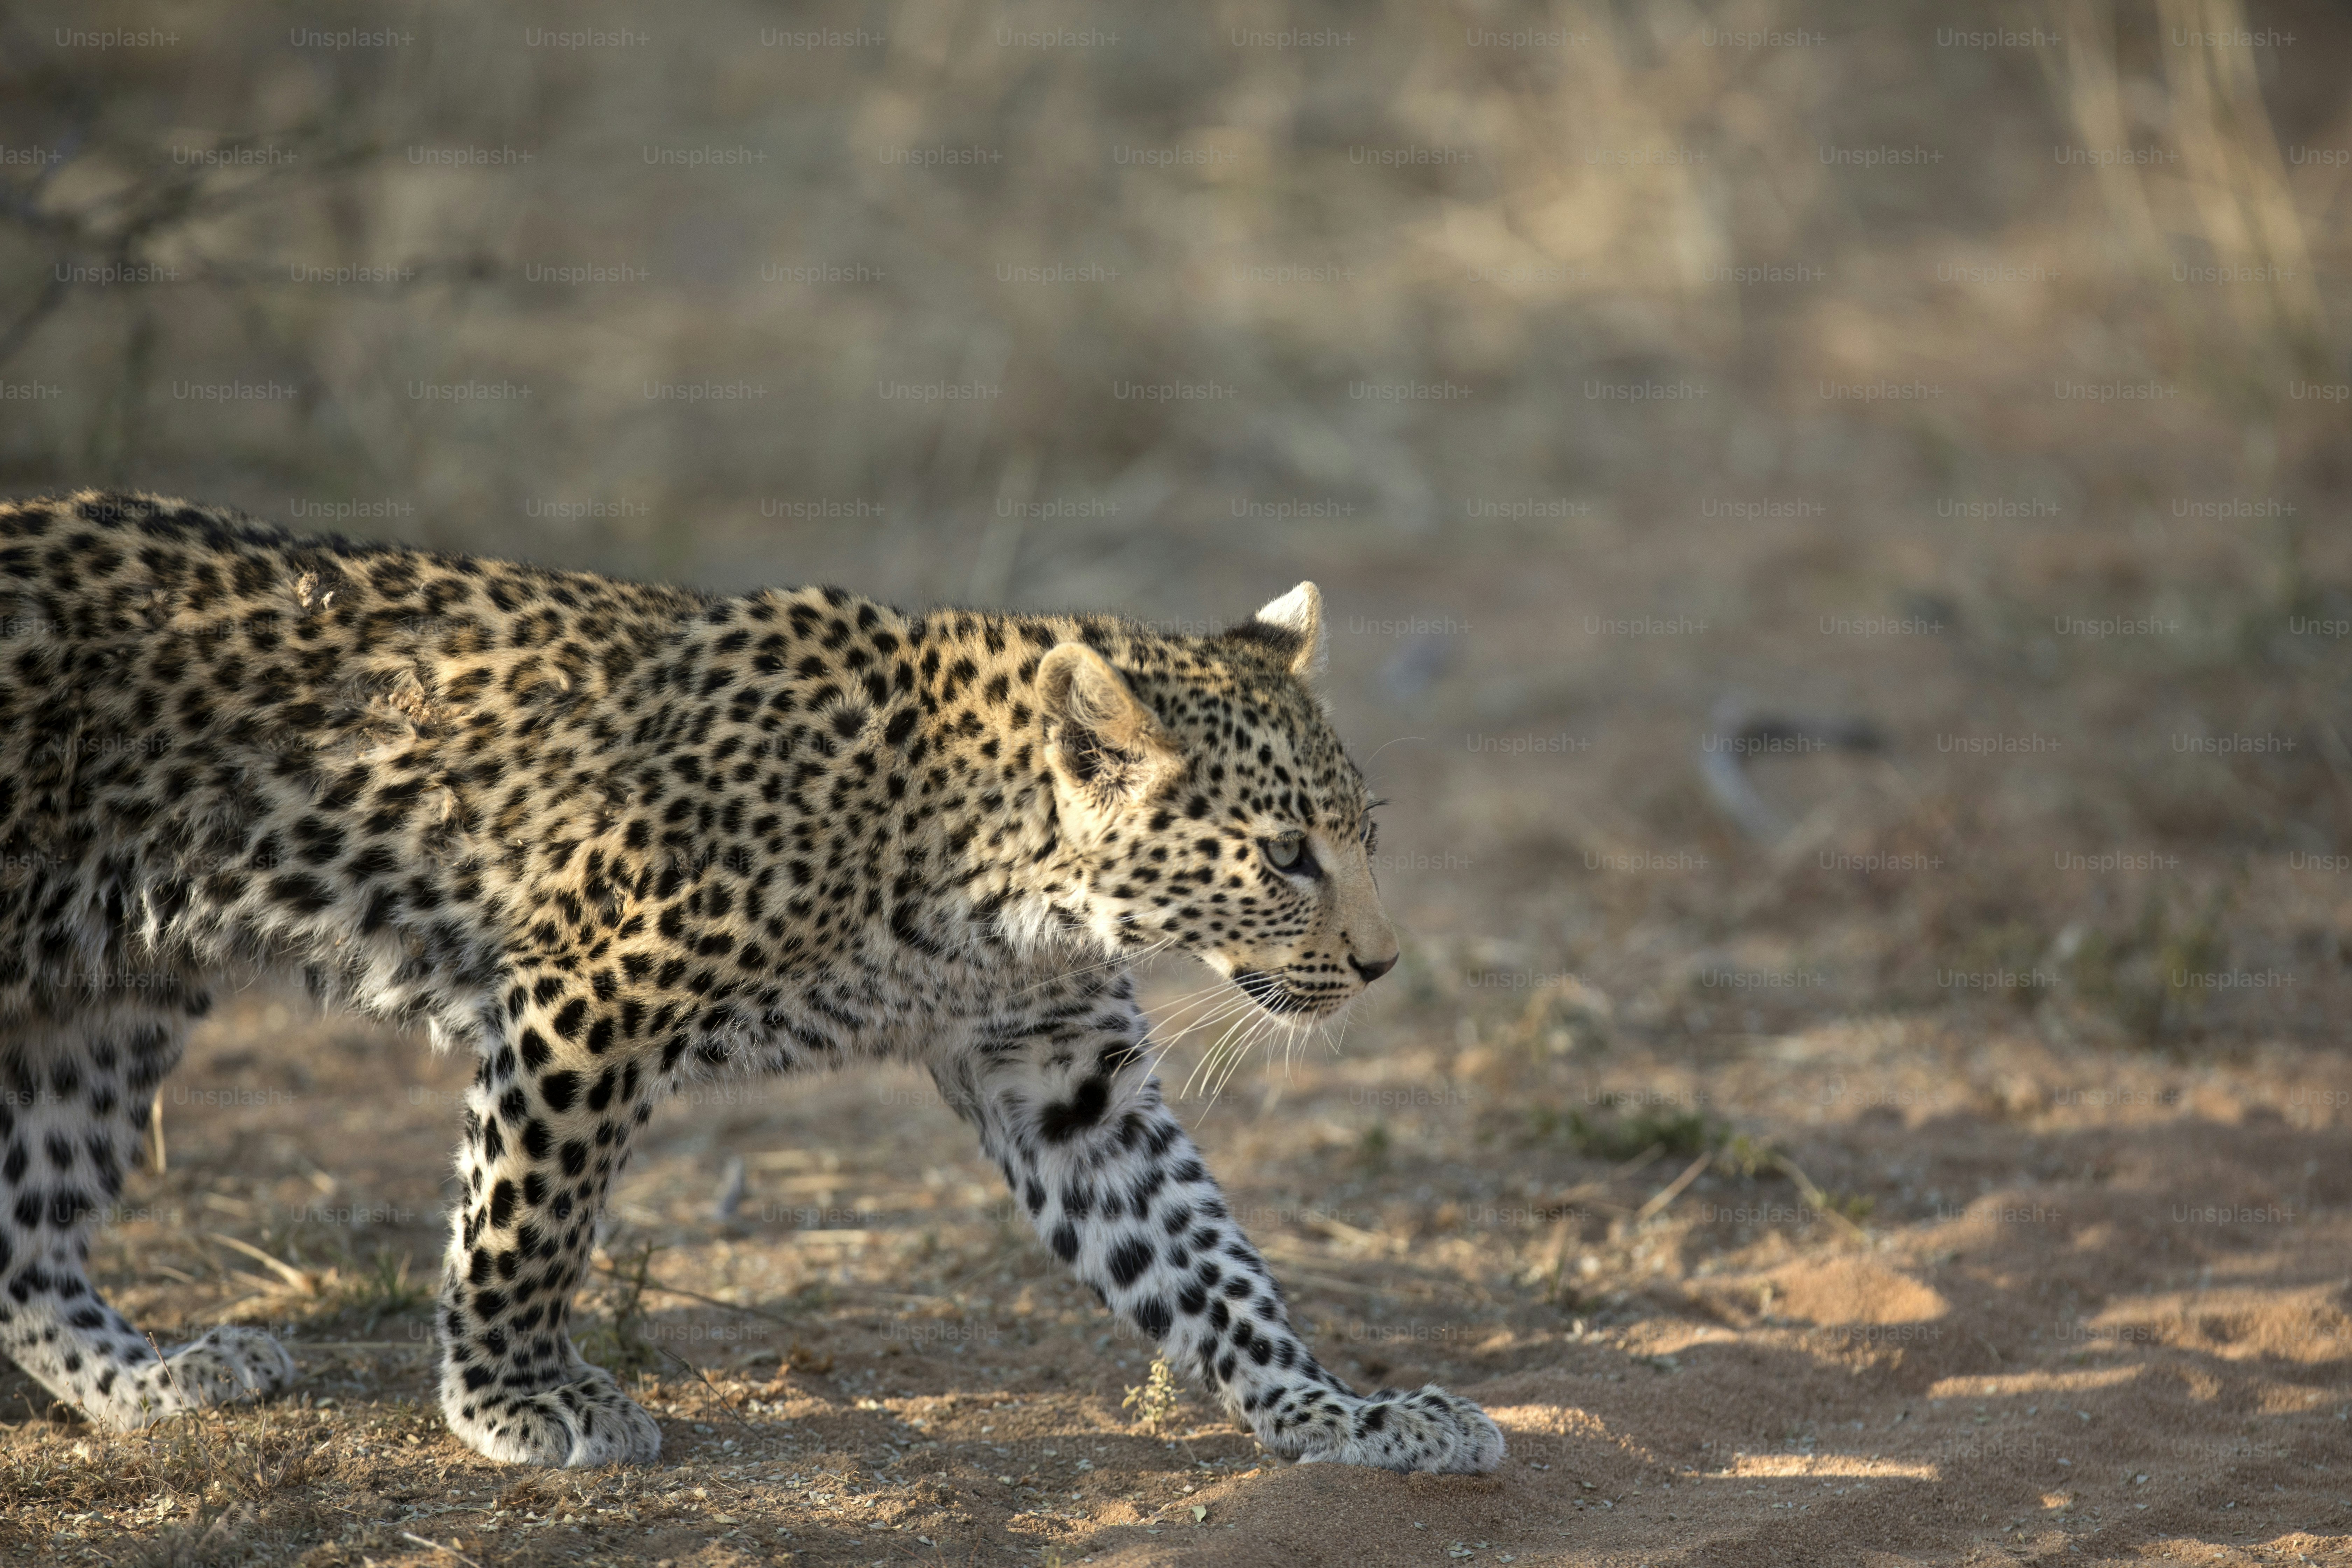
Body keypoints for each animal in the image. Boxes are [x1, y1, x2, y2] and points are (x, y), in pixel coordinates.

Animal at [0, 490, 1505, 1474]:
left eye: (1364, 835)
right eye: (1284, 853)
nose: (1380, 962)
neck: (998, 882)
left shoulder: (1066, 1079)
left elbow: (1203, 1264)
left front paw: (1341, 1415)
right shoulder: (587, 992)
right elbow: (527, 1222)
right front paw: (515, 1400)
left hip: (103, 1001)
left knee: (26, 1234)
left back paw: (155, 1383)